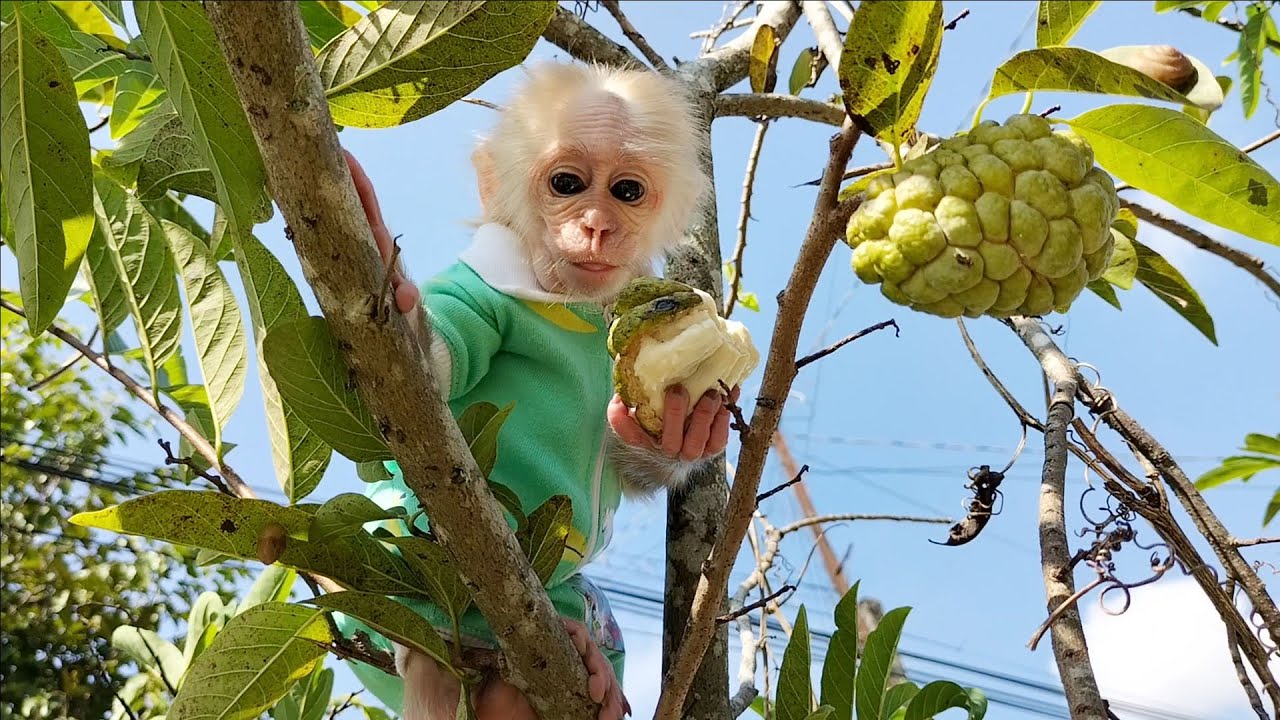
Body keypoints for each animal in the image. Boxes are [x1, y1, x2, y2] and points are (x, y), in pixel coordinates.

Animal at [335, 61, 735, 720]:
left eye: (626, 192)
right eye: (567, 184)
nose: (596, 225)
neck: (577, 302)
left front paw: (683, 439)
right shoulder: (480, 290)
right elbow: (436, 366)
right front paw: (385, 266)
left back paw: (592, 661)